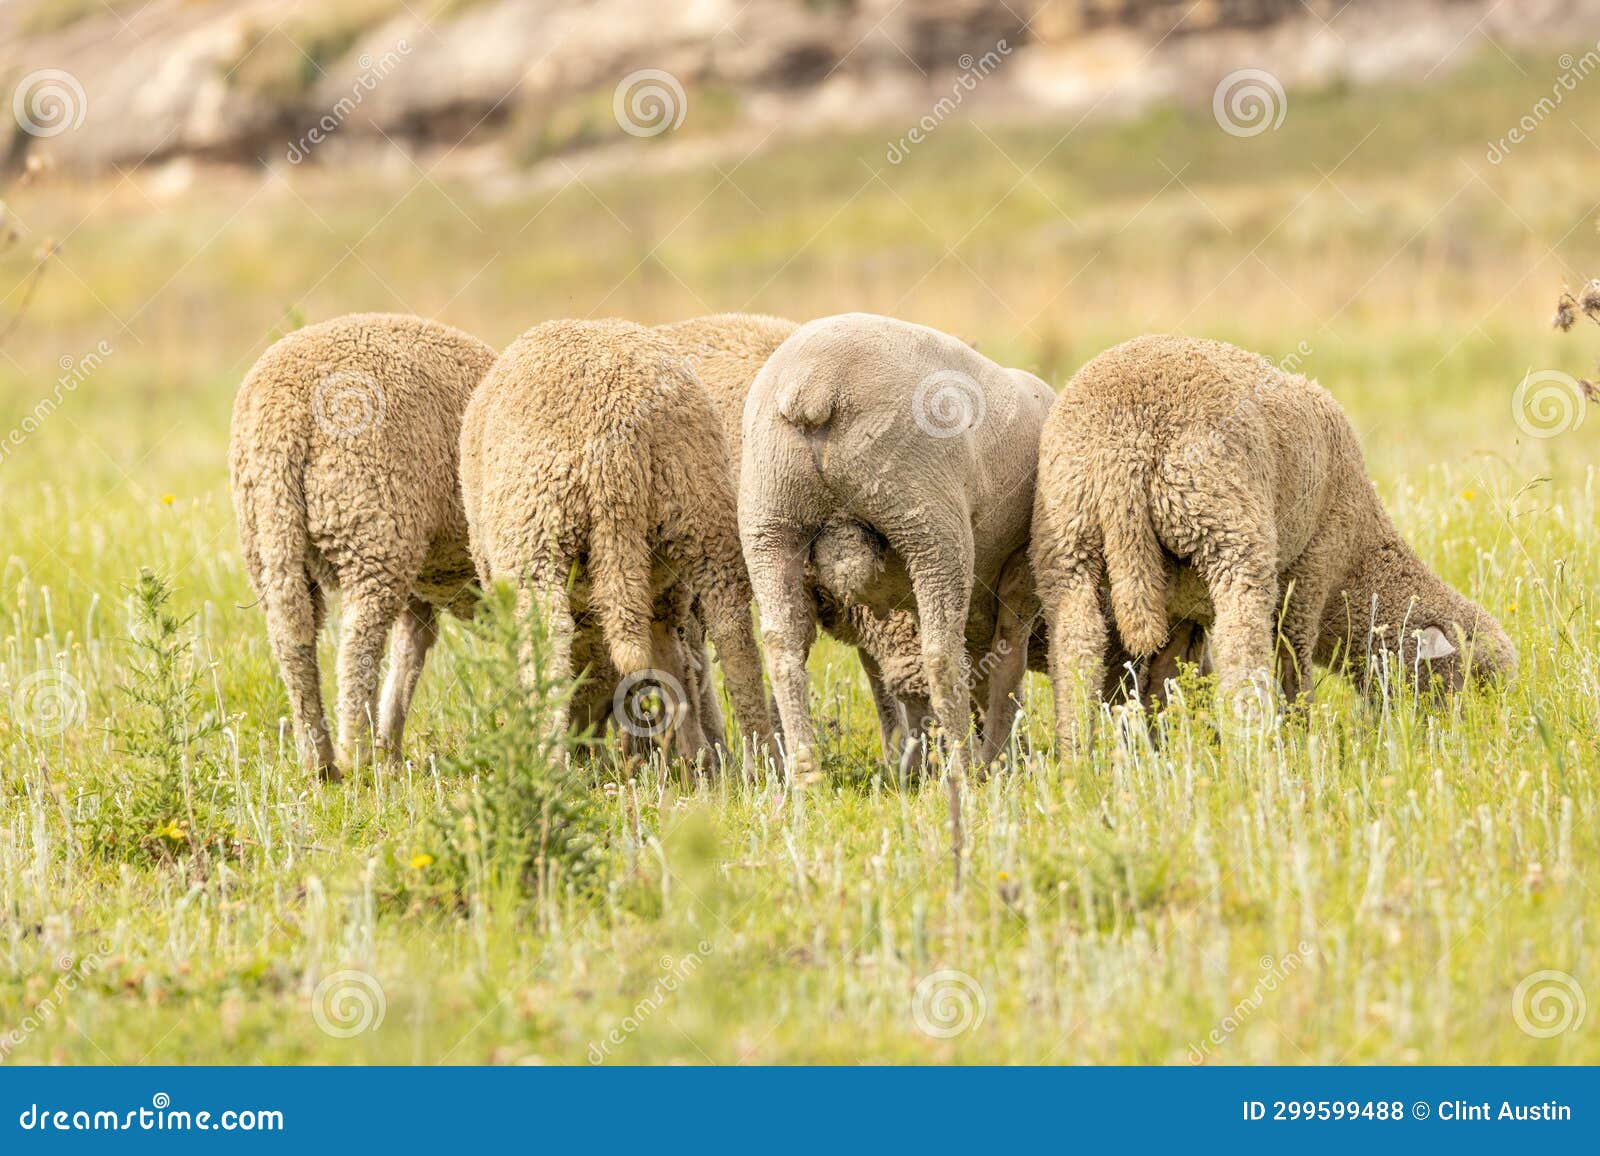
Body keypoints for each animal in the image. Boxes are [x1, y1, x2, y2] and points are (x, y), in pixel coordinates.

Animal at [229, 312, 497, 779]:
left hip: (268, 533)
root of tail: (283, 411)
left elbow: (412, 647)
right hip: (373, 526)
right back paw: (357, 757)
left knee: (293, 638)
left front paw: (391, 743)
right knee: (358, 644)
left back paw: (320, 762)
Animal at [458, 317, 773, 763]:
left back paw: (549, 761)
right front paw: (692, 756)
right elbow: (677, 662)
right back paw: (760, 758)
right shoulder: (667, 594)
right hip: (702, 512)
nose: (583, 743)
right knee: (734, 637)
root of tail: (616, 441)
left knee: (549, 639)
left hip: (536, 532)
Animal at [739, 312, 1056, 783]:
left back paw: (806, 776)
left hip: (768, 514)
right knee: (941, 656)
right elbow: (1006, 665)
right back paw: (964, 770)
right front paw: (999, 757)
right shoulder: (1021, 567)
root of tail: (812, 383)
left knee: (784, 650)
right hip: (928, 517)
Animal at [1031, 334, 1516, 749]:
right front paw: (1301, 731)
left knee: (1076, 649)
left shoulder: (1180, 615)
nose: (1479, 737)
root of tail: (1127, 448)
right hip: (1225, 524)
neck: (1358, 564)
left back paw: (1076, 757)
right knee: (1242, 647)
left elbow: (1163, 678)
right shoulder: (1314, 565)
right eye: (1471, 679)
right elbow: (1292, 655)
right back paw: (1256, 752)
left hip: (1067, 537)